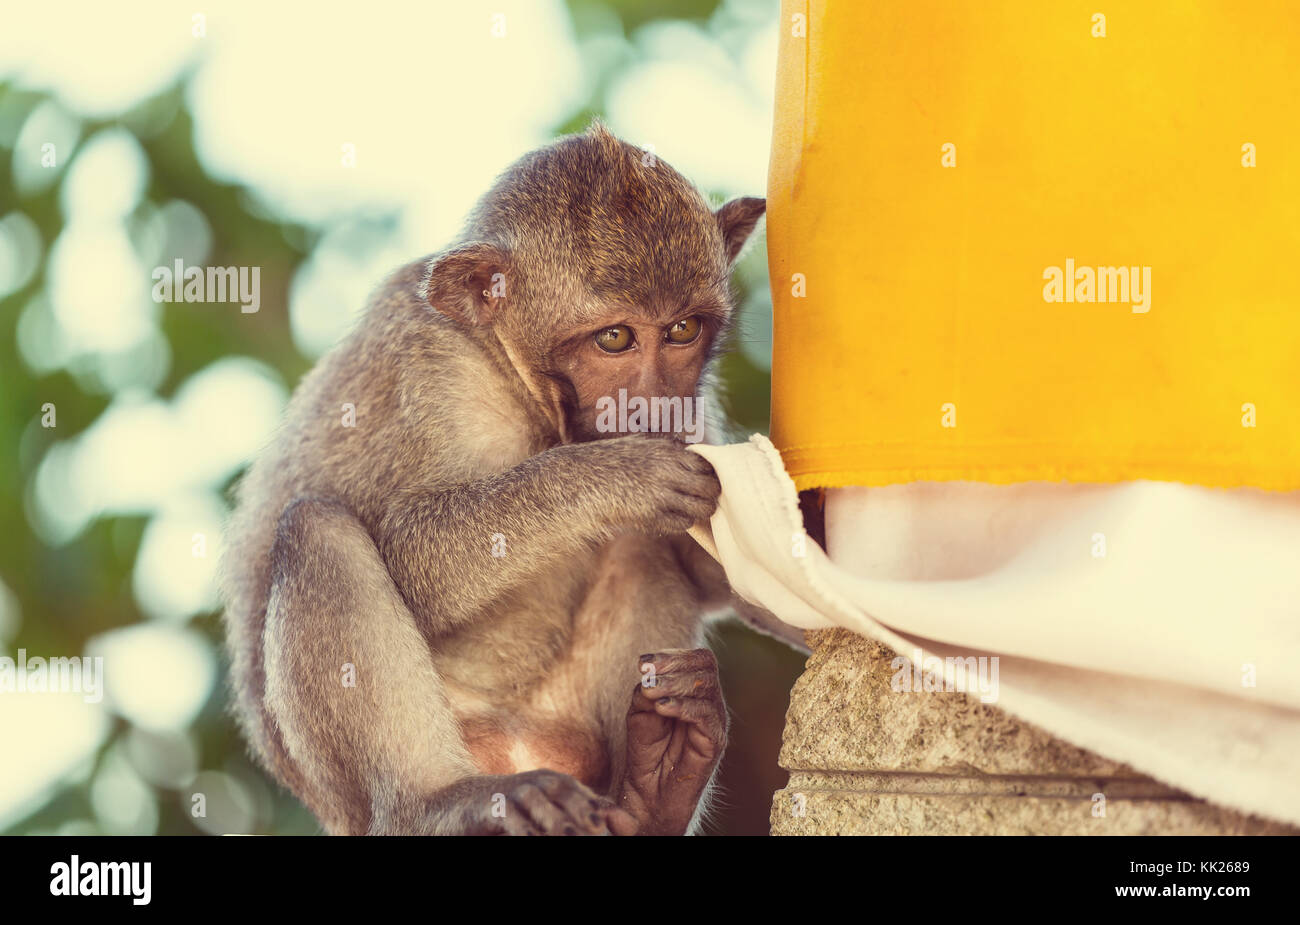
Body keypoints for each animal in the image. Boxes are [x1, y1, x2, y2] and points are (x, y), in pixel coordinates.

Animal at [220, 122, 805, 836]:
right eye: (615, 338)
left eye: (683, 330)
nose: (657, 406)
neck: (517, 381)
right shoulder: (431, 362)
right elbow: (414, 556)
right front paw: (620, 476)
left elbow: (725, 577)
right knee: (315, 528)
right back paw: (439, 800)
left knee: (639, 552)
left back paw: (653, 791)